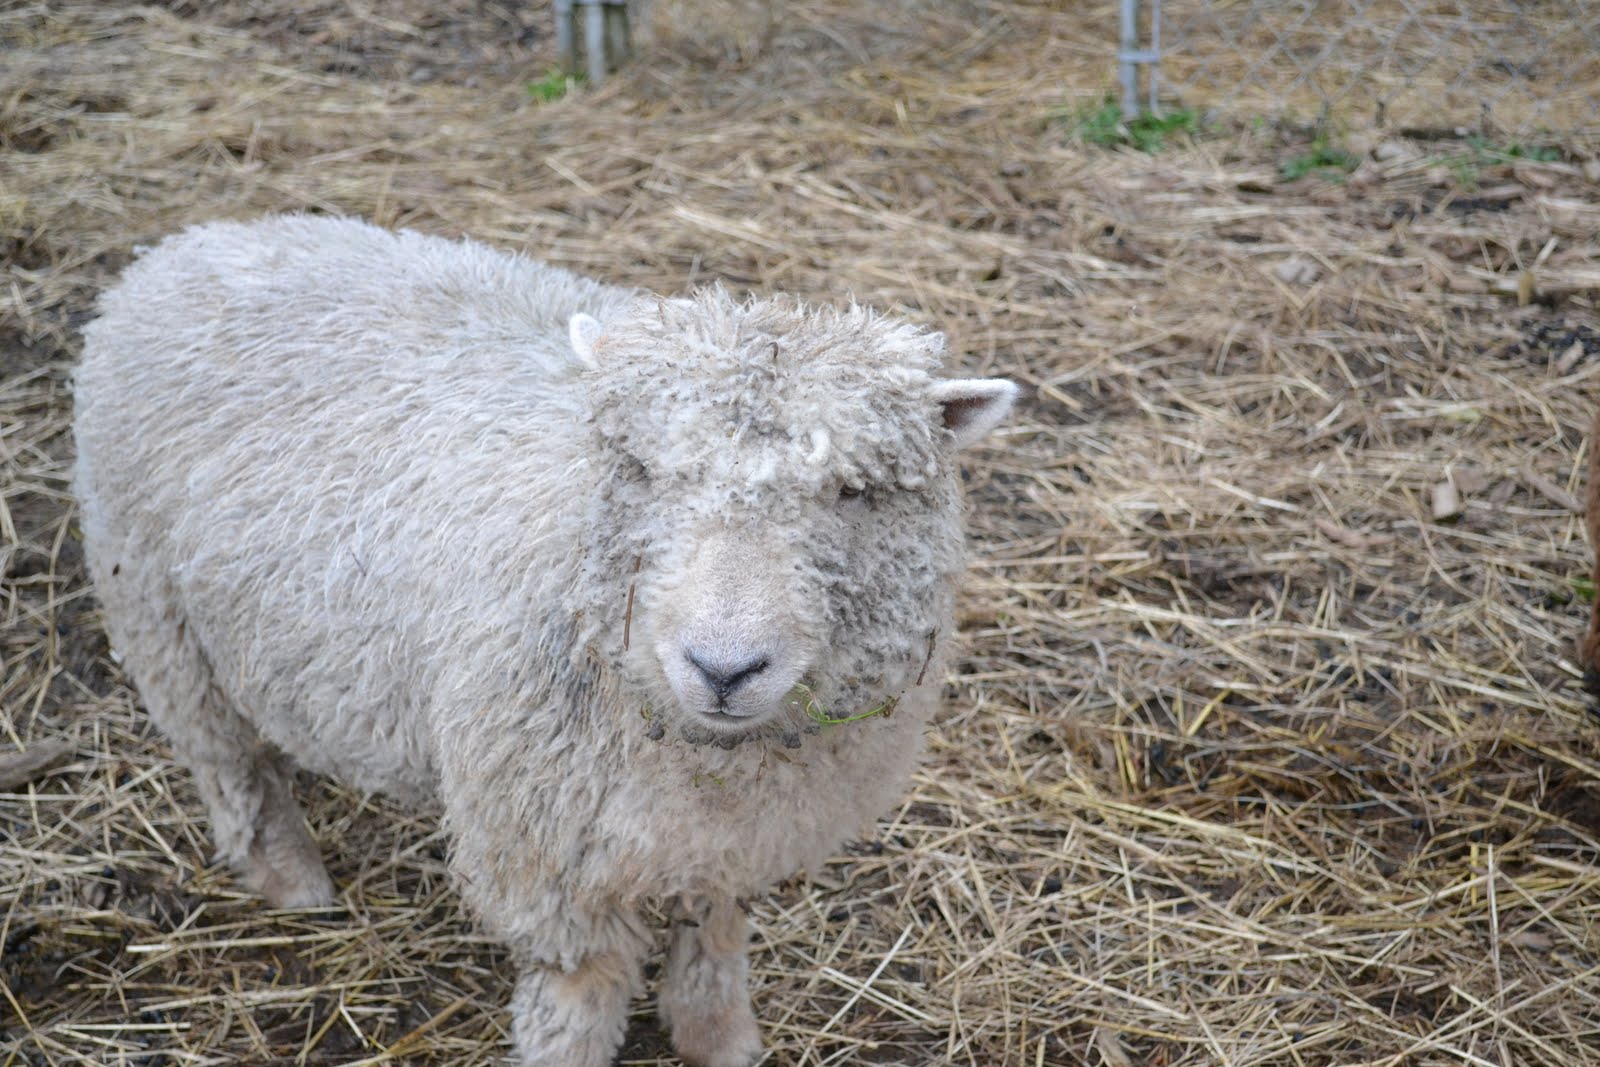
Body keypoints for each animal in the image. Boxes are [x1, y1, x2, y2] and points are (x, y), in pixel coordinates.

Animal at [73, 214, 1017, 1067]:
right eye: (643, 469)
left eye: (854, 491)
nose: (723, 667)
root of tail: (182, 245)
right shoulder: (547, 852)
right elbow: (582, 992)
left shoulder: (728, 844)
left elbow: (714, 942)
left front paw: (721, 1041)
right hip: (155, 608)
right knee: (230, 766)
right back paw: (293, 882)